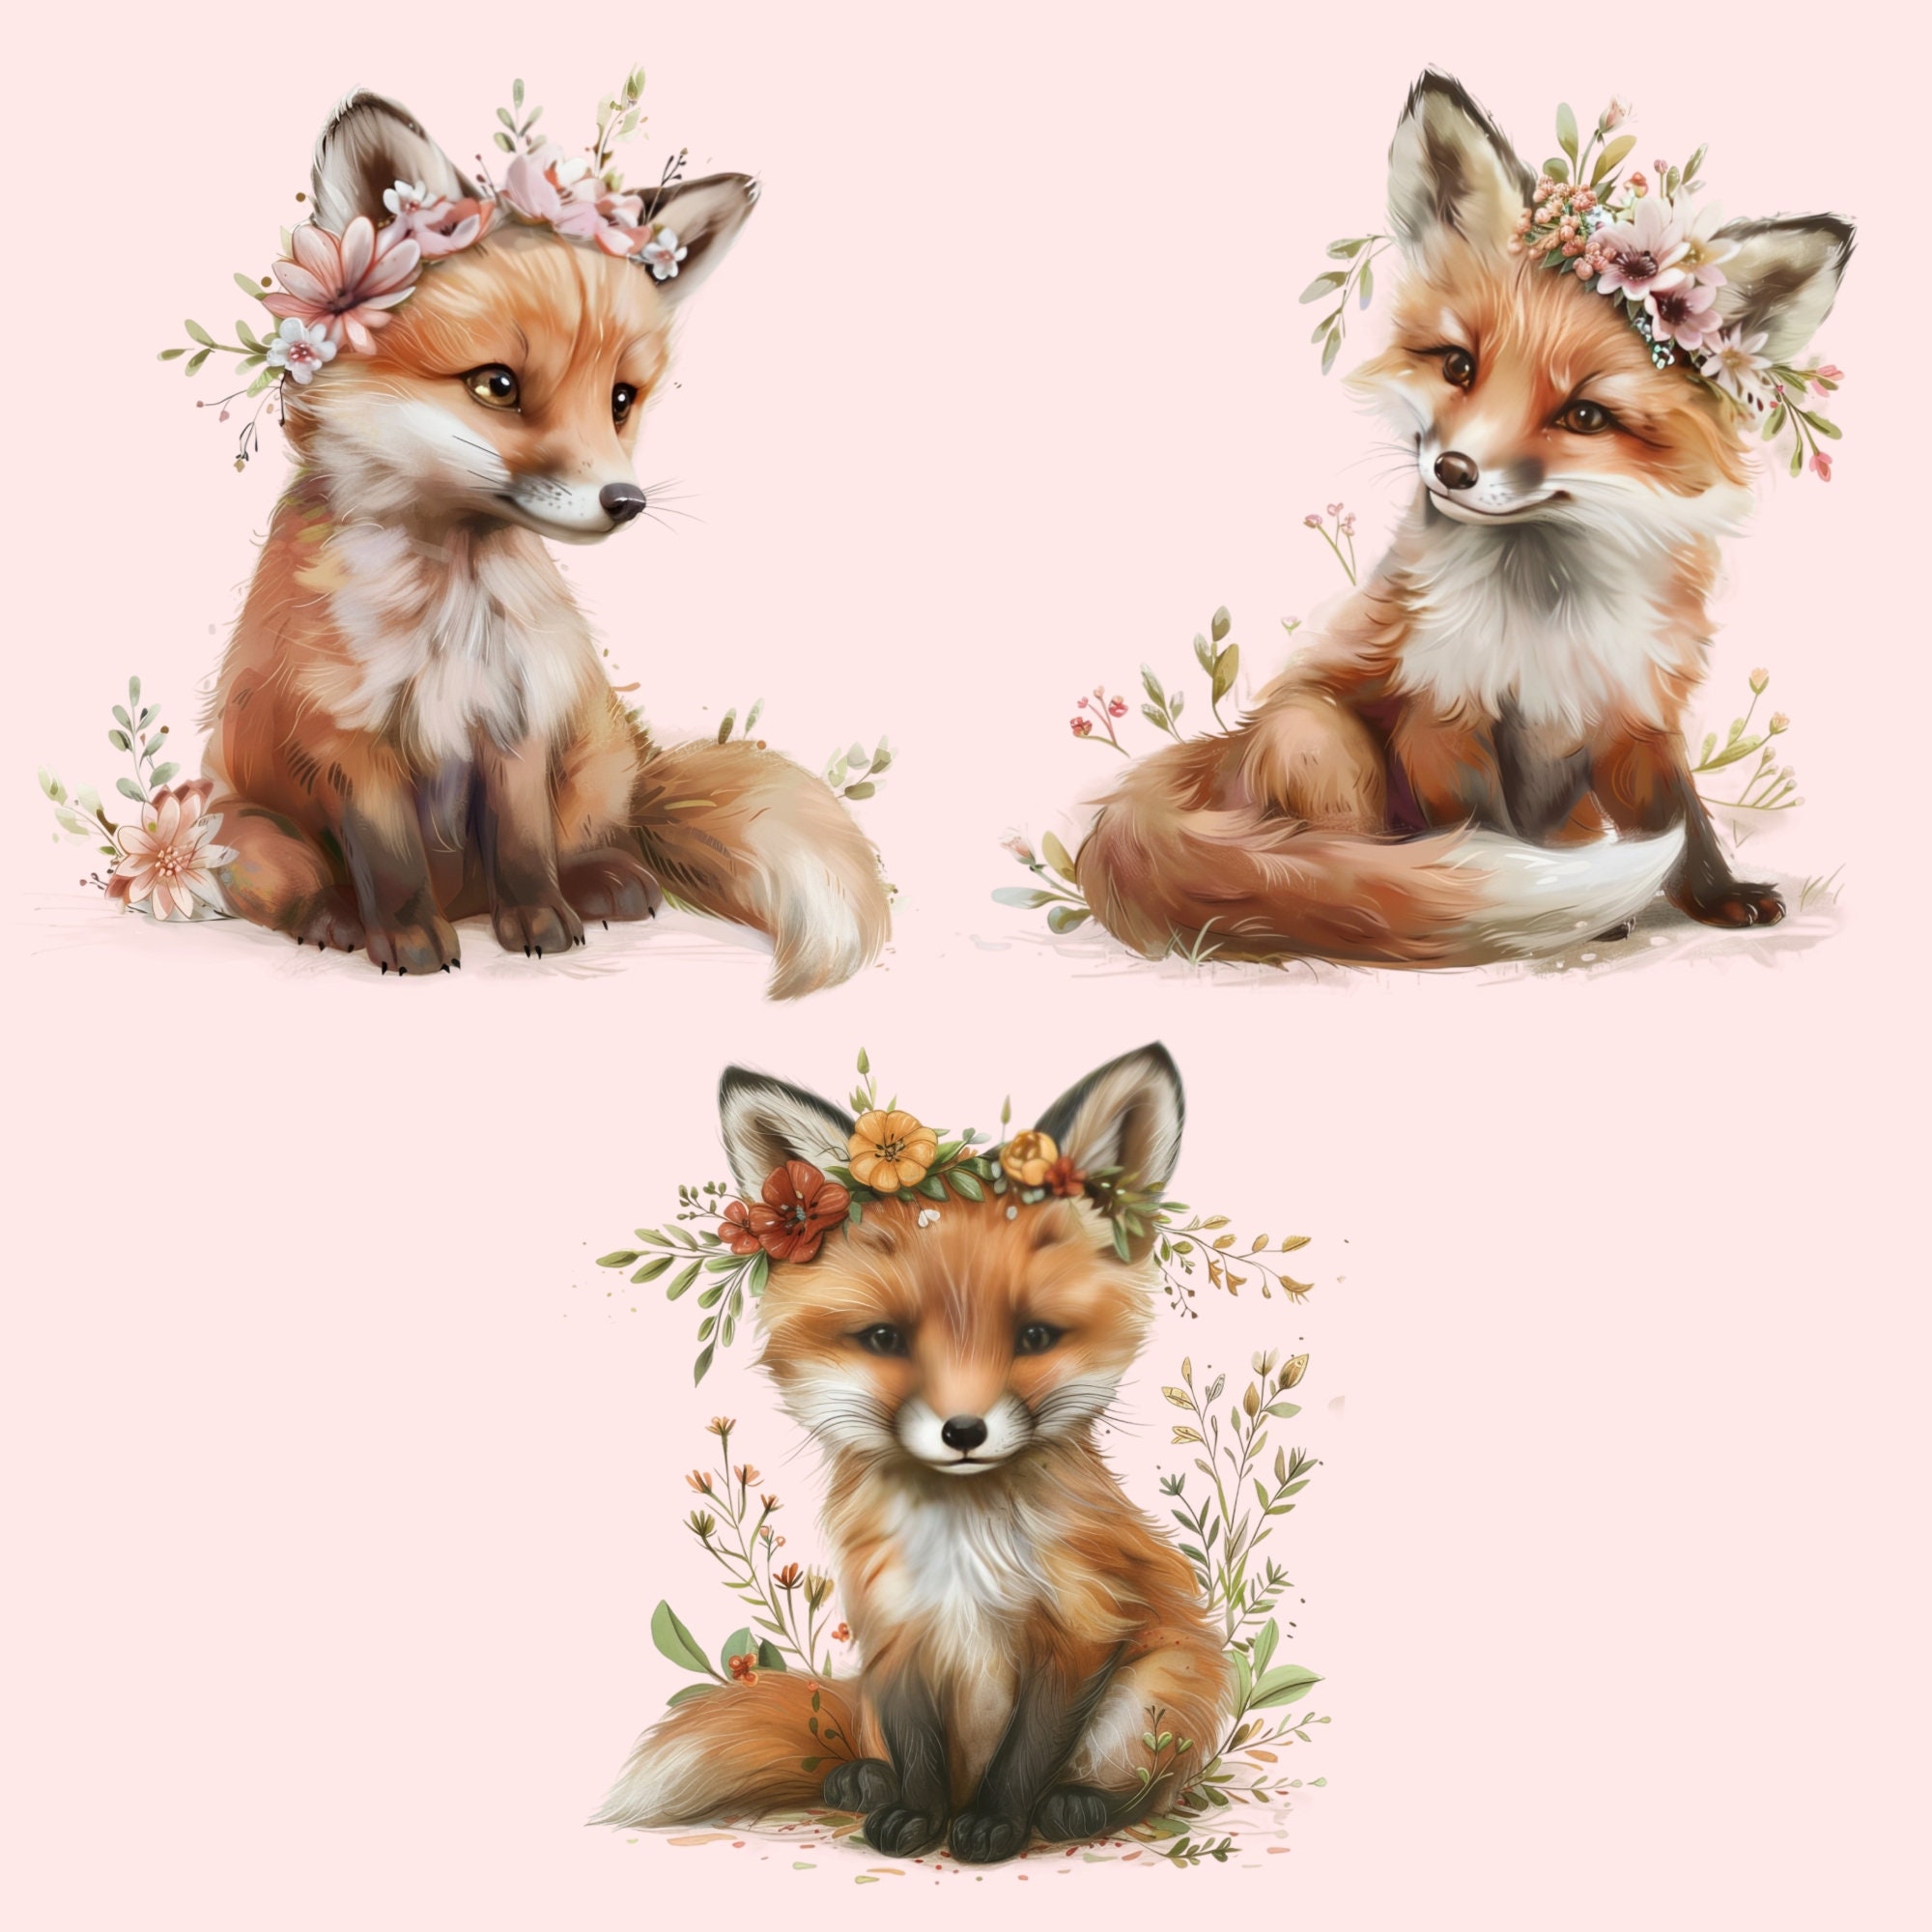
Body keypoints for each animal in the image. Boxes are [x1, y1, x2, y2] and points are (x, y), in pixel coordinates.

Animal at [200, 90, 889, 995]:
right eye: (497, 386)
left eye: (621, 399)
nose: (626, 501)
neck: (450, 615)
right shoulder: (351, 738)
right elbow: (389, 861)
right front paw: (407, 936)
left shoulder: (517, 723)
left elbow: (524, 850)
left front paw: (537, 924)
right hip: (248, 842)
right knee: (304, 888)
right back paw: (342, 918)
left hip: (592, 771)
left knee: (589, 843)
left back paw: (600, 882)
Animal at [592, 1044, 1234, 1863]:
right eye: (884, 1339)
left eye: (1034, 1336)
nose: (964, 1432)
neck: (963, 1550)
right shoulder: (893, 1634)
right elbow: (918, 1749)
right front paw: (914, 1817)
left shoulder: (1080, 1630)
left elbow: (1026, 1751)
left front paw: (992, 1825)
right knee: (862, 1748)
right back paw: (862, 1782)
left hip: (1163, 1679)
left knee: (1146, 1783)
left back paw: (1077, 1806)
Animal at [1076, 72, 1854, 967]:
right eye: (1458, 366)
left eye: (1584, 416)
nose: (1453, 470)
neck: (1546, 618)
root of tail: (1224, 748)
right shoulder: (1441, 713)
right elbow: (1479, 837)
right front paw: (1515, 906)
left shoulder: (1637, 708)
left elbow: (1681, 816)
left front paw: (1717, 896)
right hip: (1316, 735)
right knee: (1328, 858)